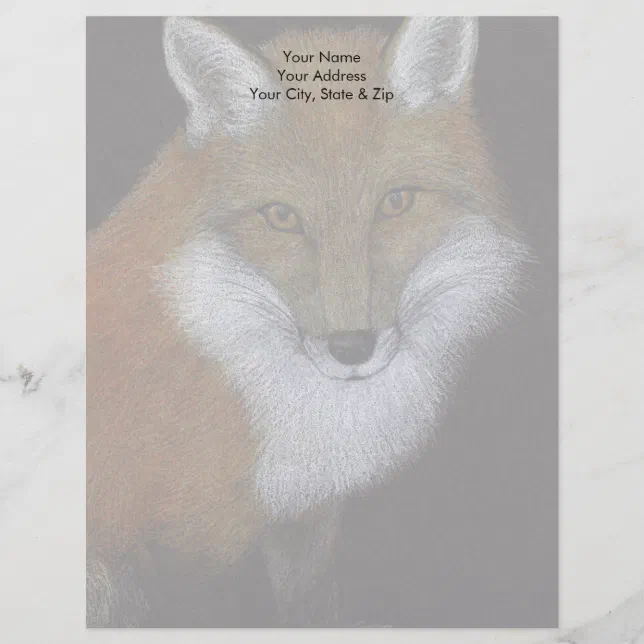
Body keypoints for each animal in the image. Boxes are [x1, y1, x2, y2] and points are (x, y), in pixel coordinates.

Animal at [87, 16, 529, 626]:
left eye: (395, 203)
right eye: (281, 217)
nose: (352, 347)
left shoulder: (304, 519)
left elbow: (310, 607)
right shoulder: (184, 541)